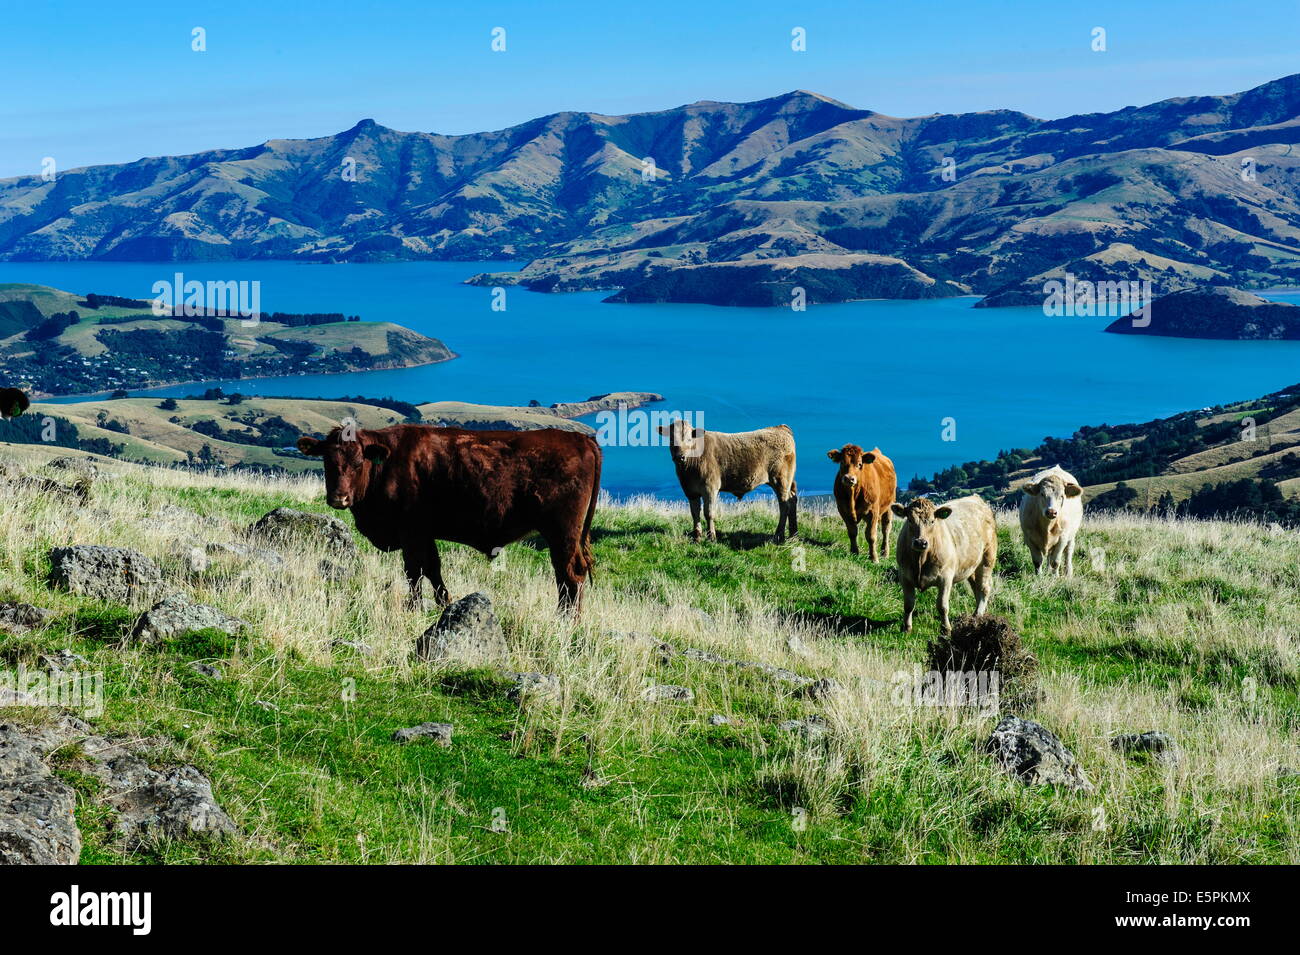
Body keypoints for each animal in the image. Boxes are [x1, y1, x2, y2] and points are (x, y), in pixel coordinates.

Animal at [296, 424, 602, 614]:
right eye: (327, 461)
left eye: (359, 462)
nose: (339, 498)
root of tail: (580, 438)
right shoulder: (424, 532)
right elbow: (433, 568)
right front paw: (444, 603)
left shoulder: (411, 531)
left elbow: (414, 570)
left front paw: (413, 607)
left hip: (562, 531)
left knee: (569, 574)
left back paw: (566, 620)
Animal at [657, 421, 797, 543]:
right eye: (671, 439)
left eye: (689, 439)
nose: (680, 457)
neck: (689, 470)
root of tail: (780, 428)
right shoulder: (690, 491)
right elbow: (695, 513)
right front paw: (697, 538)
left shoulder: (710, 488)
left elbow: (709, 513)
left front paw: (711, 537)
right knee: (792, 499)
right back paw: (793, 534)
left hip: (781, 480)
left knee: (784, 505)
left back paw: (778, 536)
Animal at [892, 495, 997, 635]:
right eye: (909, 519)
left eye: (932, 521)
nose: (920, 542)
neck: (921, 560)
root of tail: (976, 498)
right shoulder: (904, 576)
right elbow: (908, 604)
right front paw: (907, 628)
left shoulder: (945, 578)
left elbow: (942, 606)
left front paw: (946, 629)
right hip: (971, 566)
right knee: (976, 587)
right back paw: (976, 615)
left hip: (987, 558)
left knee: (984, 588)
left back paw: (978, 615)